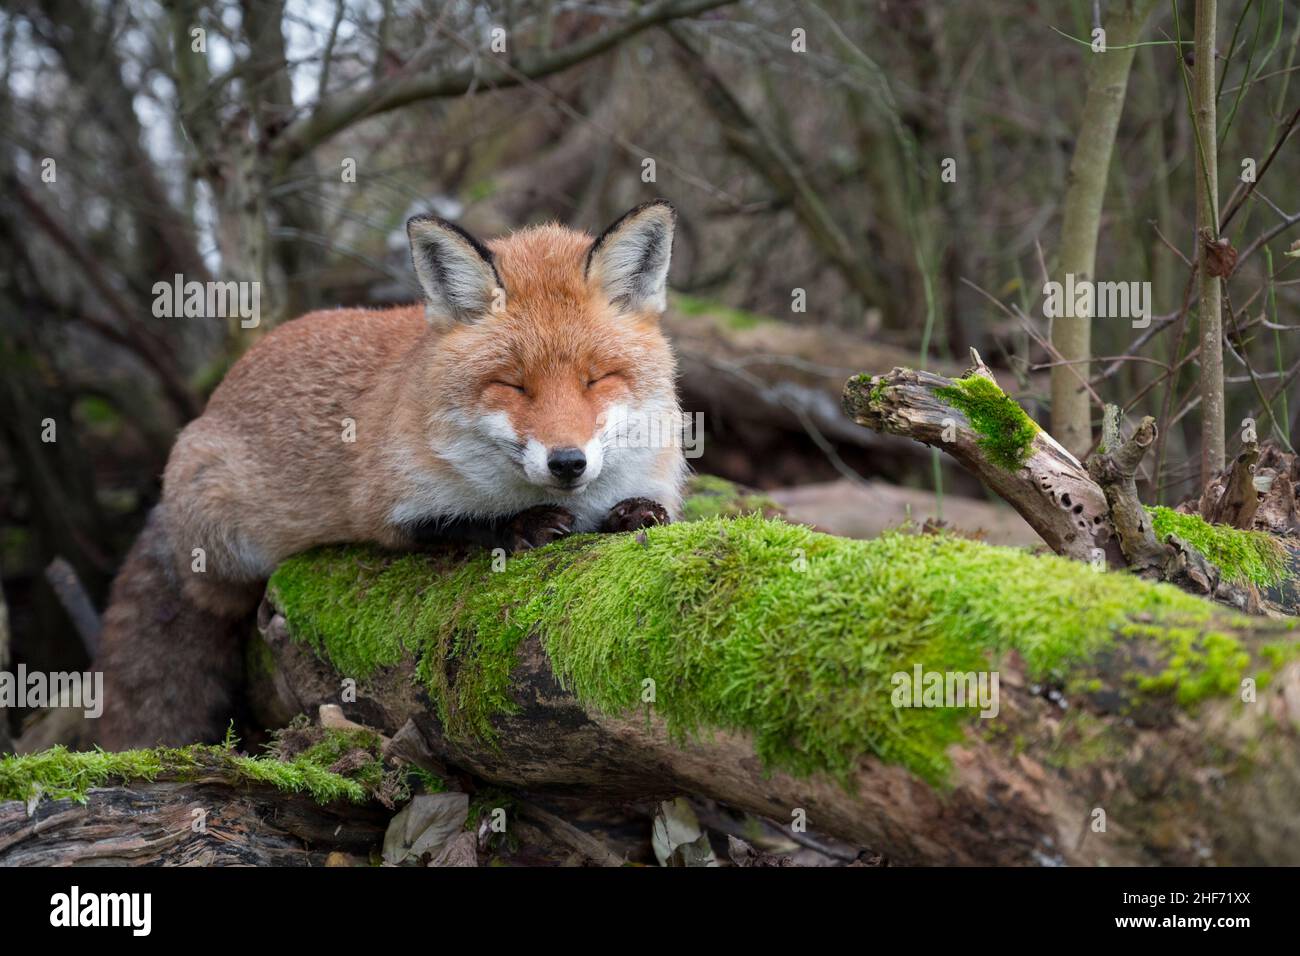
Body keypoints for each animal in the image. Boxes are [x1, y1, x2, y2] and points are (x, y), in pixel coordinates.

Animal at [96, 200, 687, 749]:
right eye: (513, 385)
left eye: (596, 379)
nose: (567, 462)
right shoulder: (392, 506)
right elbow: (464, 523)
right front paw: (523, 524)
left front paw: (635, 513)